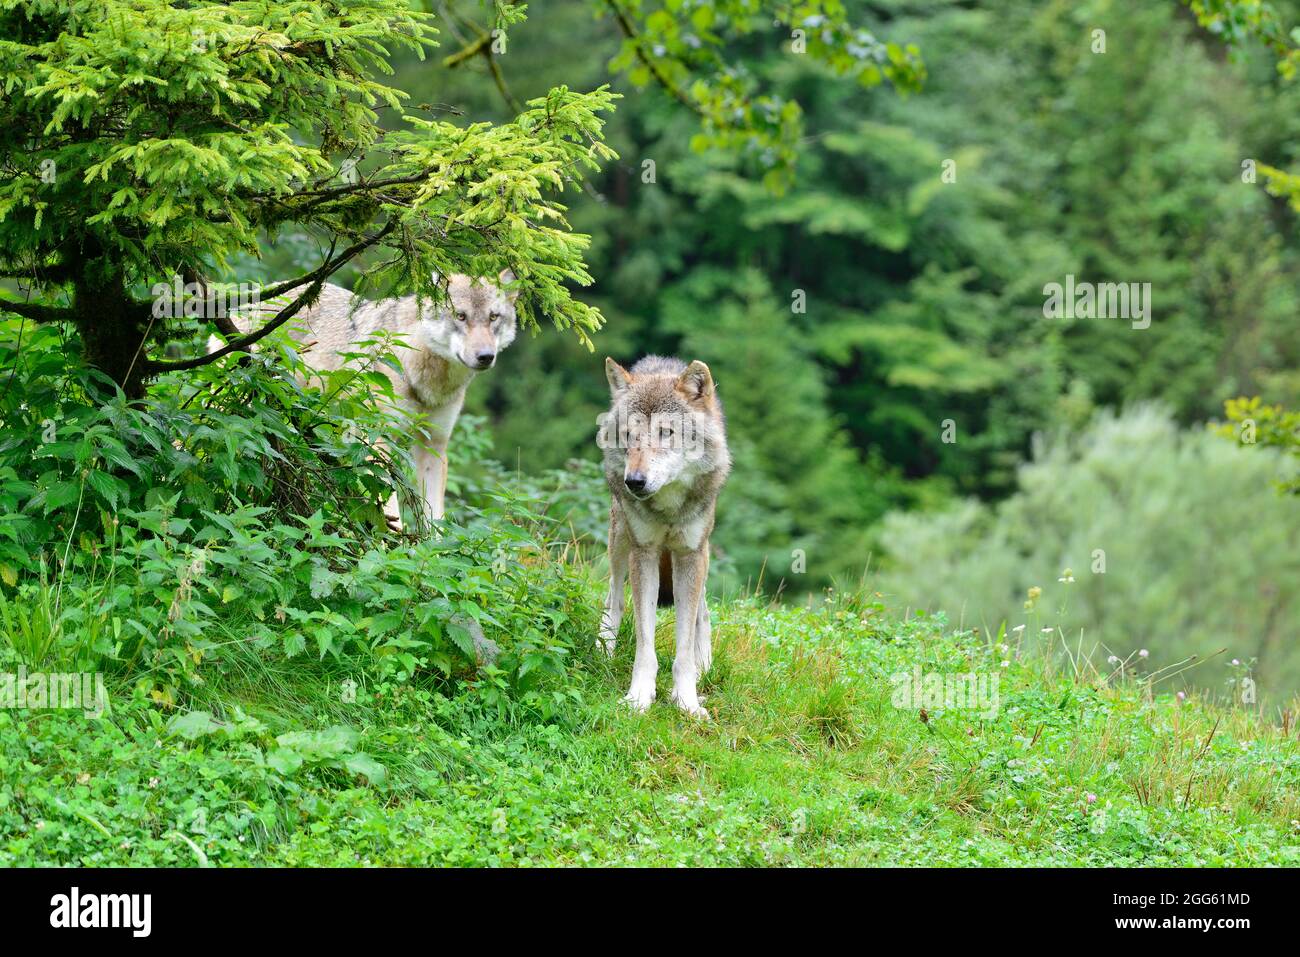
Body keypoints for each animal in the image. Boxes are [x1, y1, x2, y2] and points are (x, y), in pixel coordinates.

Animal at [209, 272, 518, 526]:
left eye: (493, 317)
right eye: (461, 316)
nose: (485, 356)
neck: (422, 372)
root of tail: (245, 299)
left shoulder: (433, 447)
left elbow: (436, 521)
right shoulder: (377, 443)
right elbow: (391, 514)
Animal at [597, 355, 731, 718]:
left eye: (666, 432)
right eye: (629, 435)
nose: (634, 481)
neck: (669, 508)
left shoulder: (690, 554)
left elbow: (684, 643)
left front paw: (686, 700)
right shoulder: (644, 551)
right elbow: (645, 643)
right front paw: (639, 697)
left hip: (704, 553)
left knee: (702, 613)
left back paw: (704, 668)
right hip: (620, 538)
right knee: (614, 598)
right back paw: (603, 650)